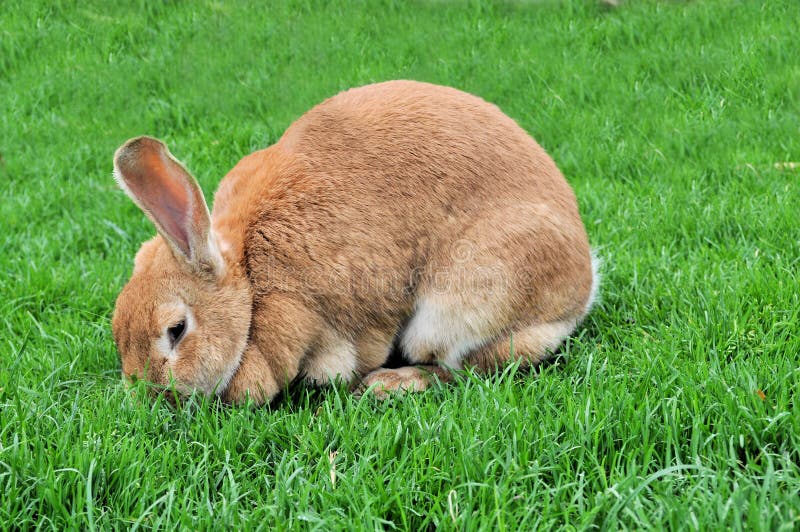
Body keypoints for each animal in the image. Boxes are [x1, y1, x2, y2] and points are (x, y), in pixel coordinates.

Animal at [111, 80, 599, 405]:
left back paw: (389, 384)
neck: (249, 275)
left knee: (471, 366)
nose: (150, 396)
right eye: (118, 325)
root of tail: (584, 283)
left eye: (177, 329)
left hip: (462, 302)